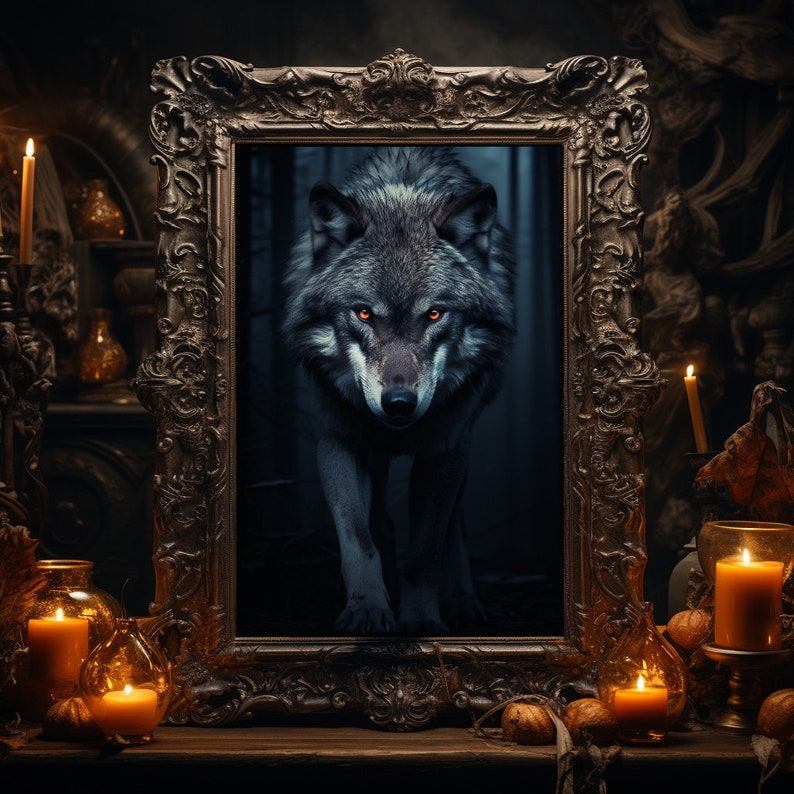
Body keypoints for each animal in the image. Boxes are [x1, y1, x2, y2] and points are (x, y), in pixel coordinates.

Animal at [281, 146, 516, 634]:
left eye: (435, 315)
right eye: (364, 314)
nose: (399, 405)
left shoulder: (446, 448)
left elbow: (426, 552)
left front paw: (422, 622)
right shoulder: (338, 440)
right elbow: (358, 538)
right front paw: (367, 609)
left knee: (454, 528)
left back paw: (463, 600)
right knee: (380, 524)